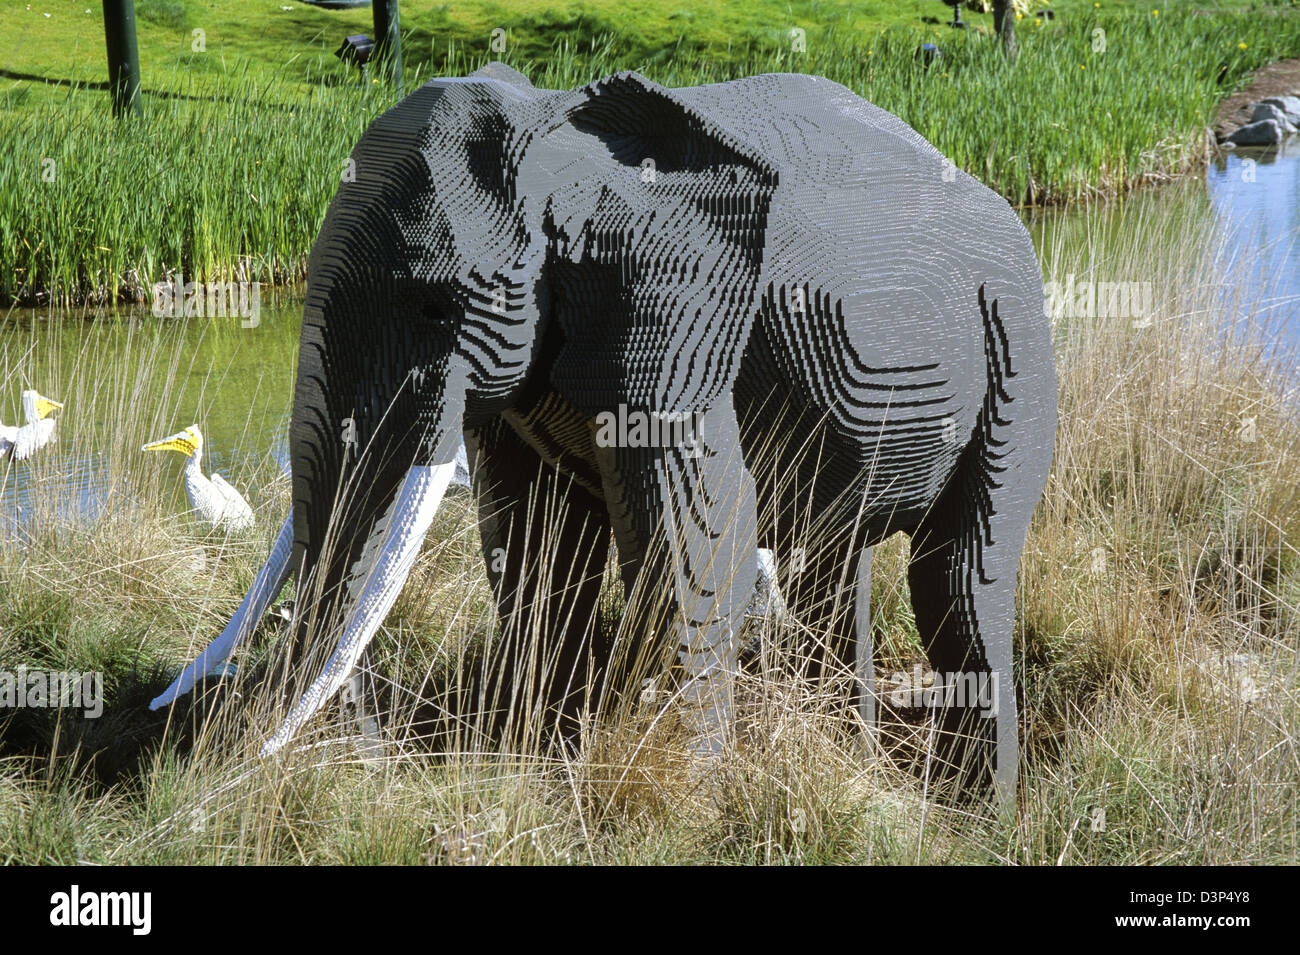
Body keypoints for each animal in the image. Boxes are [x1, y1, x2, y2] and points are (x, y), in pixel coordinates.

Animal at [149, 62, 1056, 803]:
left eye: (437, 306)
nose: (365, 764)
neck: (561, 135)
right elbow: (536, 542)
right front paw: (533, 766)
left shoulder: (681, 322)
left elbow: (695, 555)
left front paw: (670, 806)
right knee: (836, 568)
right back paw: (861, 764)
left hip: (1018, 342)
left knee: (960, 579)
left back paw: (981, 809)